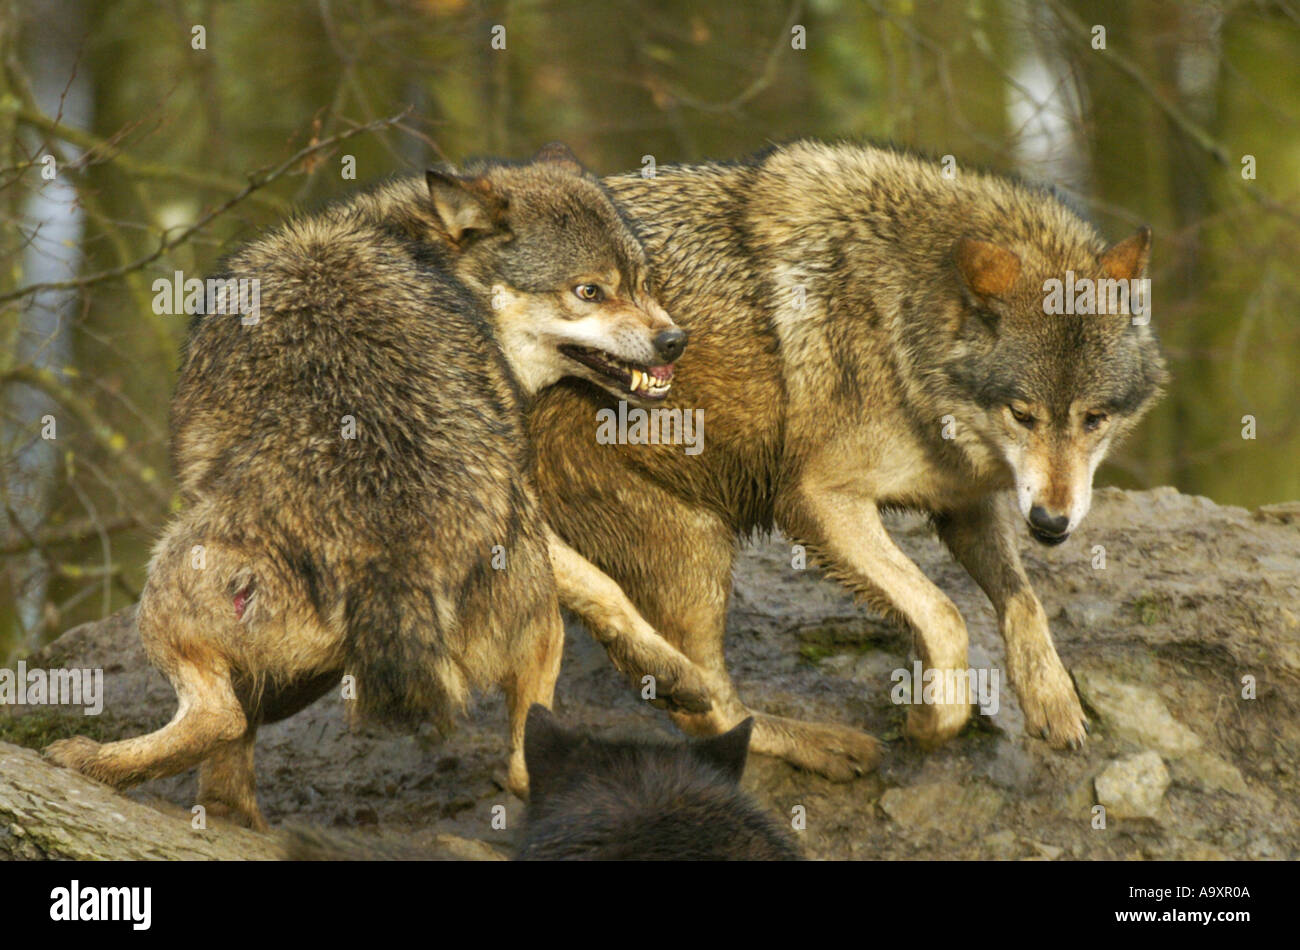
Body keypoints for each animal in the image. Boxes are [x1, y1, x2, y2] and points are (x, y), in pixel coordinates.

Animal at [44, 144, 710, 830]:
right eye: (590, 291)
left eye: (643, 284)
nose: (674, 340)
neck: (414, 243)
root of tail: (395, 559)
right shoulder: (518, 495)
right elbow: (604, 585)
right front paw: (680, 674)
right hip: (521, 614)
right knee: (523, 765)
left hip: (168, 577)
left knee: (220, 718)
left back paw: (93, 761)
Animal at [528, 140, 1168, 779]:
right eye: (1022, 414)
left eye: (1095, 418)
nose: (1052, 524)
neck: (904, 333)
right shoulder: (817, 501)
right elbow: (945, 616)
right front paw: (932, 719)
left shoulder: (965, 500)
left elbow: (1023, 600)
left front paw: (1052, 698)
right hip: (694, 545)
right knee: (705, 707)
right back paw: (827, 746)